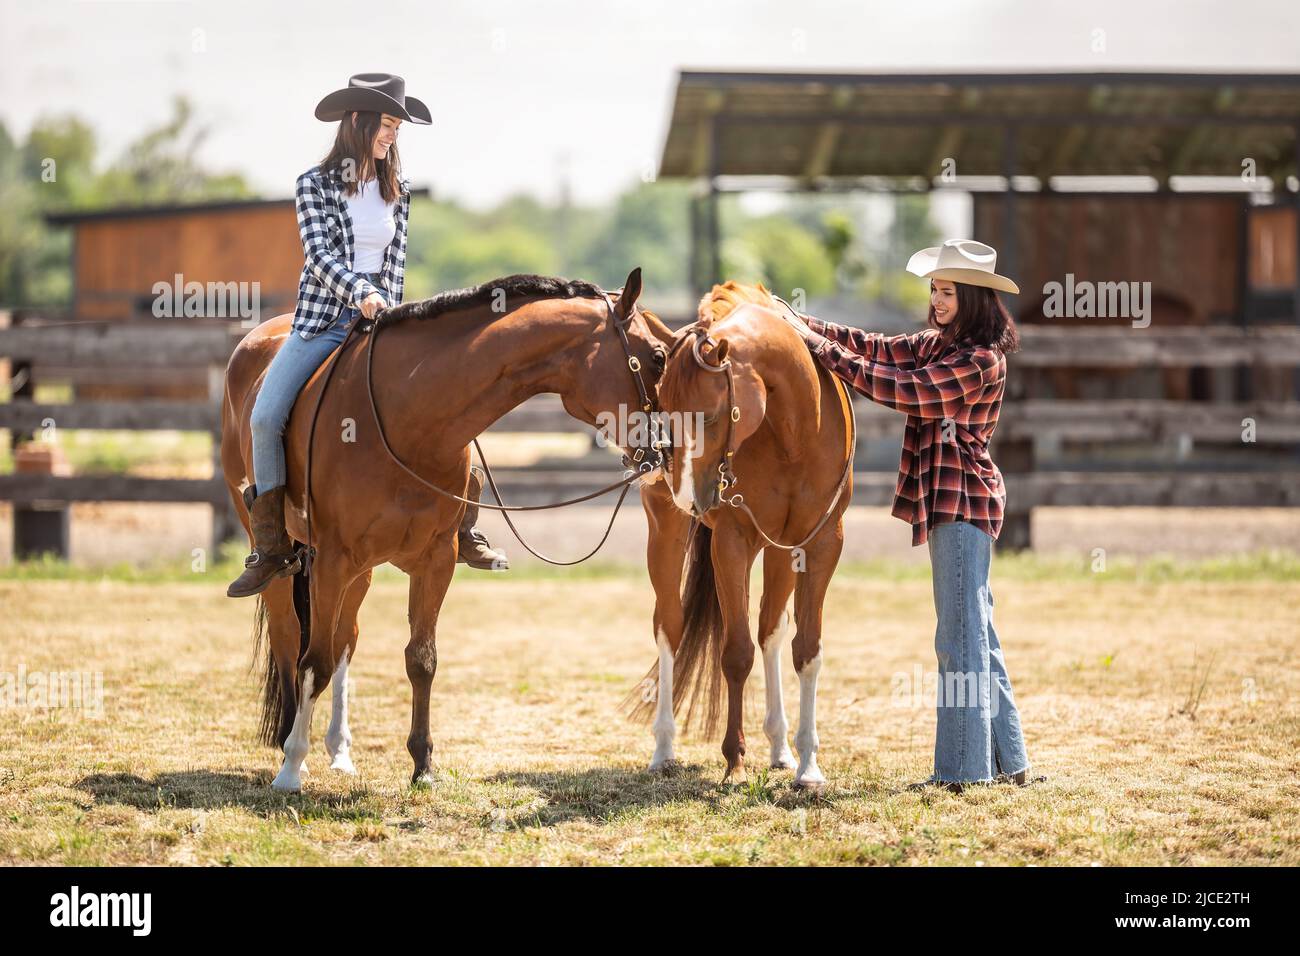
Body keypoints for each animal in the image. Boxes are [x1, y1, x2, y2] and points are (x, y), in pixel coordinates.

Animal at [220, 270, 674, 790]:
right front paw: (292, 768)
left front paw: (423, 766)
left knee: (344, 640)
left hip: (360, 571)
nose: (667, 449)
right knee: (289, 636)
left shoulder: (433, 559)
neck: (402, 419)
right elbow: (312, 660)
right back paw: (291, 749)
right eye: (657, 357)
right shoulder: (333, 559)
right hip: (288, 558)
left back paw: (340, 752)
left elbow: (420, 658)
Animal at [631, 282, 855, 790]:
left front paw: (809, 766)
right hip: (665, 535)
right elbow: (735, 652)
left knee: (771, 630)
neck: (794, 429)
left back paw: (781, 748)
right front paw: (734, 762)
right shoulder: (732, 542)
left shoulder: (819, 544)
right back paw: (663, 750)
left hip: (780, 553)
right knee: (669, 626)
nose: (688, 493)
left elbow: (805, 649)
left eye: (713, 416)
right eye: (664, 413)